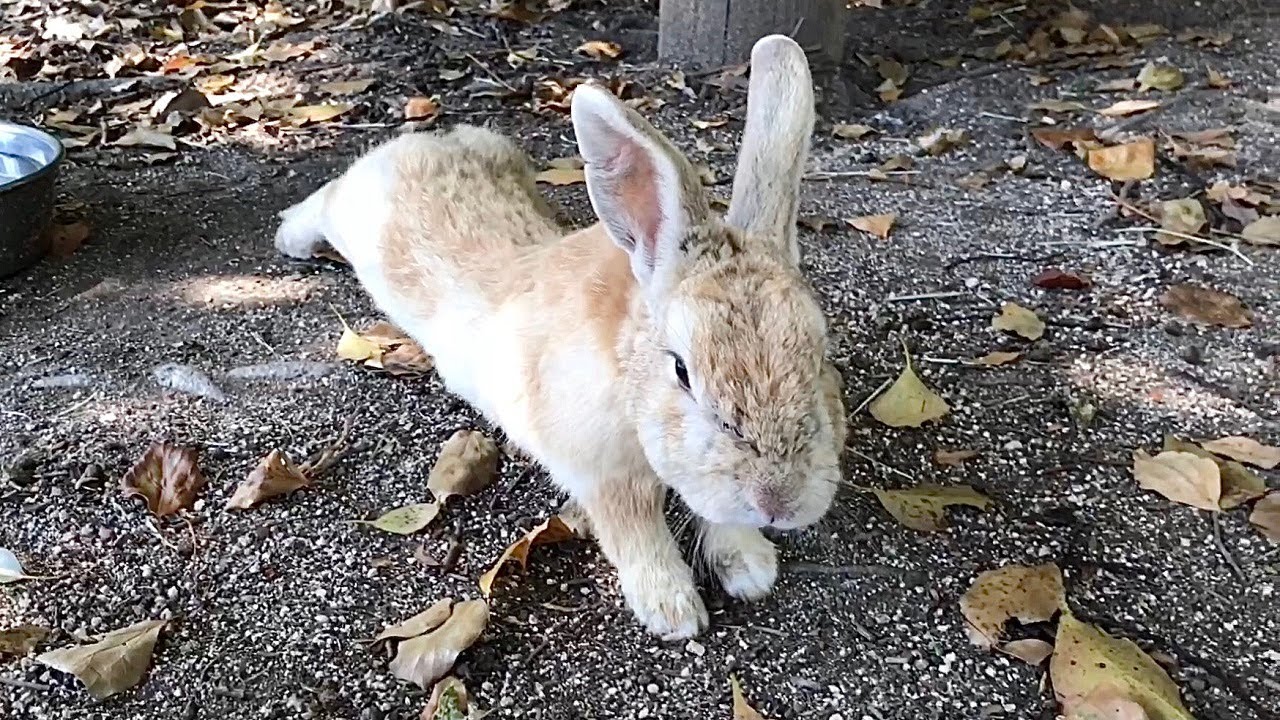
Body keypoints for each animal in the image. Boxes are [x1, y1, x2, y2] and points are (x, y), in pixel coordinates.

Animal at [273, 34, 847, 640]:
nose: (778, 501)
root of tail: (428, 139)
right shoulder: (603, 475)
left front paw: (751, 564)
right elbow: (635, 530)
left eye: (819, 352)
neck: (623, 364)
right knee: (323, 198)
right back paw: (291, 238)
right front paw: (671, 611)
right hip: (349, 211)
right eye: (681, 371)